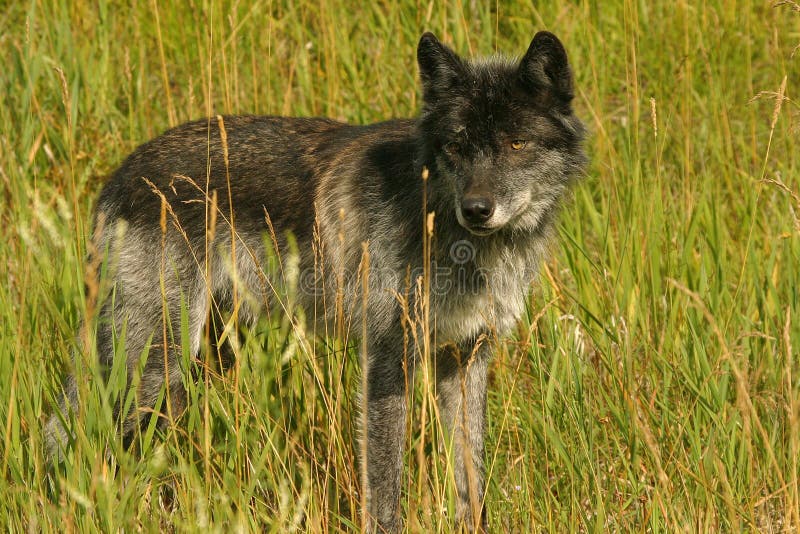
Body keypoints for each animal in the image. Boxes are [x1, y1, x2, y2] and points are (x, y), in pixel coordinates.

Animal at [46, 31, 585, 532]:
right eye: (456, 145)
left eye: (516, 143)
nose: (476, 209)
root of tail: (120, 177)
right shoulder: (387, 360)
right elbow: (384, 489)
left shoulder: (467, 357)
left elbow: (470, 481)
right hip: (154, 364)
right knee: (80, 438)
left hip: (203, 357)